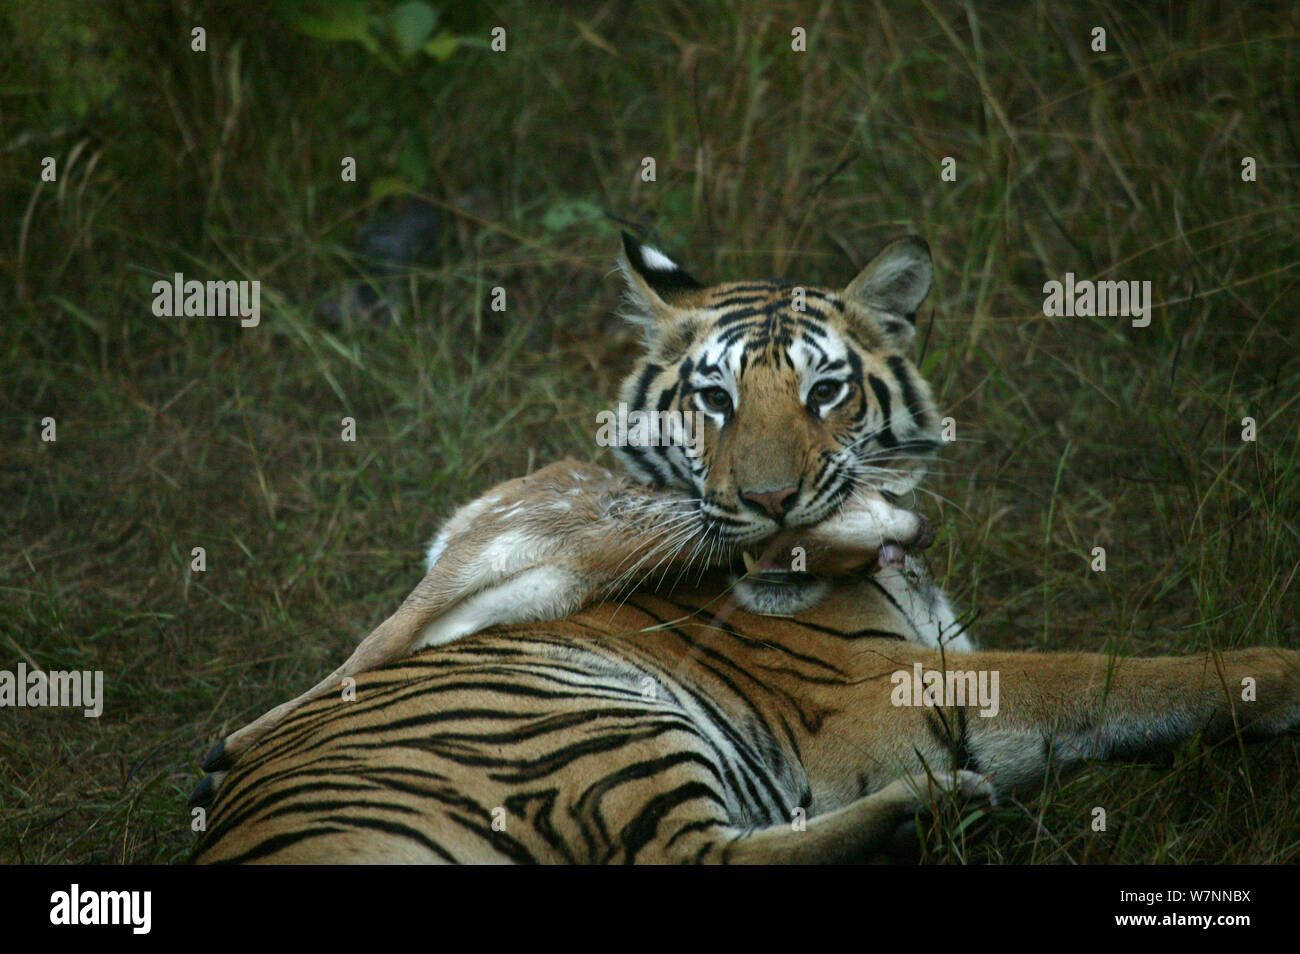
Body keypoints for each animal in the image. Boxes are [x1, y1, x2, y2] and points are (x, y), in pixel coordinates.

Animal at [190, 234, 1300, 864]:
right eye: (714, 398)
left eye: (826, 391)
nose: (768, 502)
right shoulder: (874, 696)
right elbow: (1107, 674)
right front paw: (1274, 673)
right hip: (594, 723)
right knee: (689, 861)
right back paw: (922, 815)